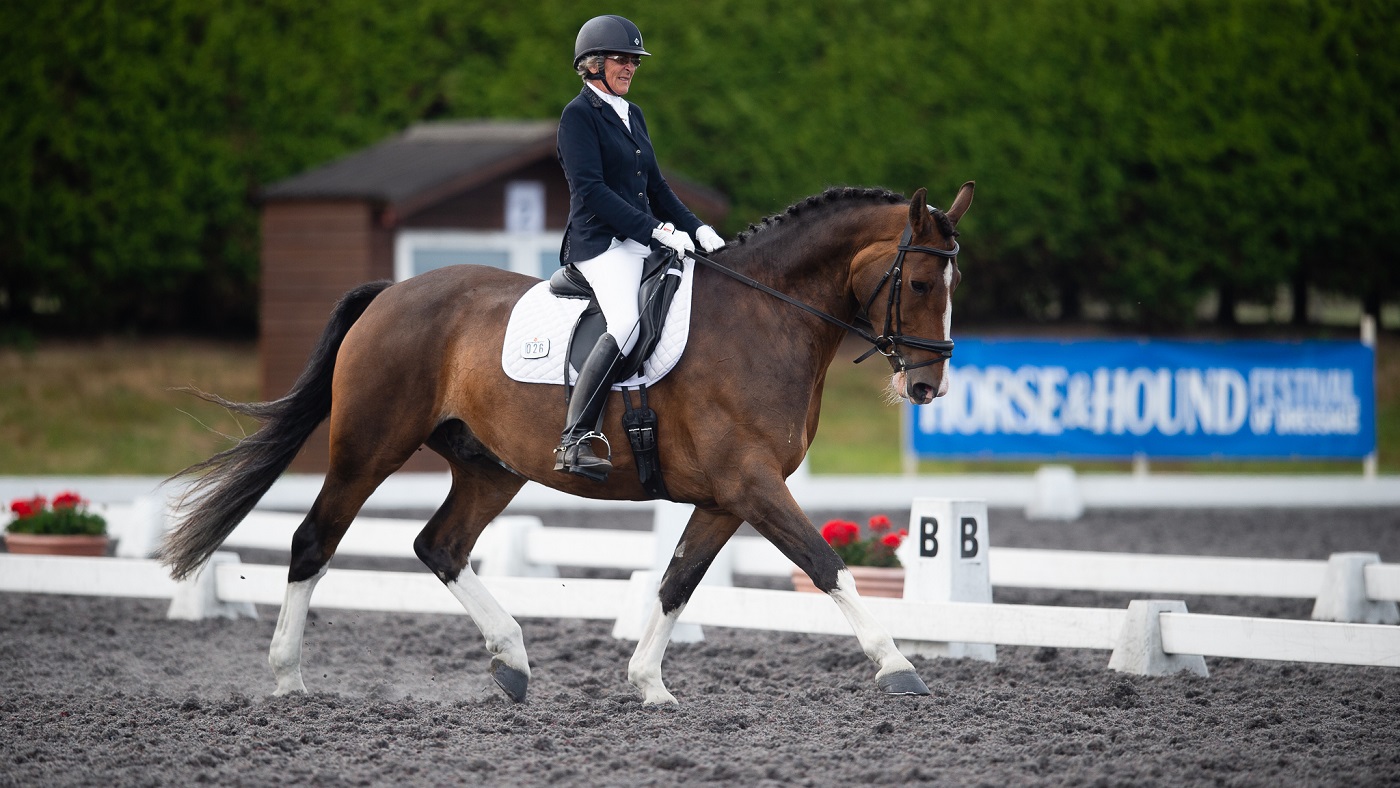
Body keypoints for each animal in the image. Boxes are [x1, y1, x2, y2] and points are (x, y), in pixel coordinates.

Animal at [158, 182, 974, 705]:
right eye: (921, 281)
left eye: (950, 283)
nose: (928, 387)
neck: (767, 318)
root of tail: (390, 292)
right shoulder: (753, 484)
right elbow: (828, 565)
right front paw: (899, 668)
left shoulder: (730, 494)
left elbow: (677, 582)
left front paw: (649, 685)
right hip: (369, 447)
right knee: (314, 540)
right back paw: (288, 678)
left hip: (490, 467)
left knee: (439, 545)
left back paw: (512, 662)